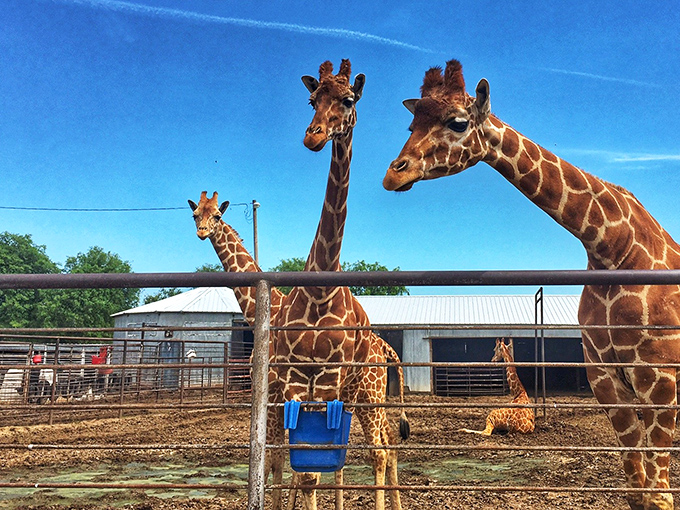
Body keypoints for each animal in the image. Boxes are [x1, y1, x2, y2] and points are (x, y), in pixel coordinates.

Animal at [188, 190, 409, 510]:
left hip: (369, 394)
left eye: (217, 215)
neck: (261, 311)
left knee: (379, 449)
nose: (203, 231)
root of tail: (385, 348)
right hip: (364, 397)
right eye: (195, 215)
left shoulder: (276, 393)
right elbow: (284, 459)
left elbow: (276, 459)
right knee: (387, 440)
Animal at [272, 59, 407, 510]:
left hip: (366, 393)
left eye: (348, 100)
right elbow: (306, 470)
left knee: (380, 450)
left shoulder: (329, 375)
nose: (313, 136)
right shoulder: (296, 377)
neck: (319, 289)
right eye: (312, 99)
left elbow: (313, 469)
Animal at [383, 58, 680, 510]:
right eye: (411, 125)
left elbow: (659, 496)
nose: (392, 175)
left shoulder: (659, 377)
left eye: (457, 122)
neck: (612, 246)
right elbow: (637, 490)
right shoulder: (606, 379)